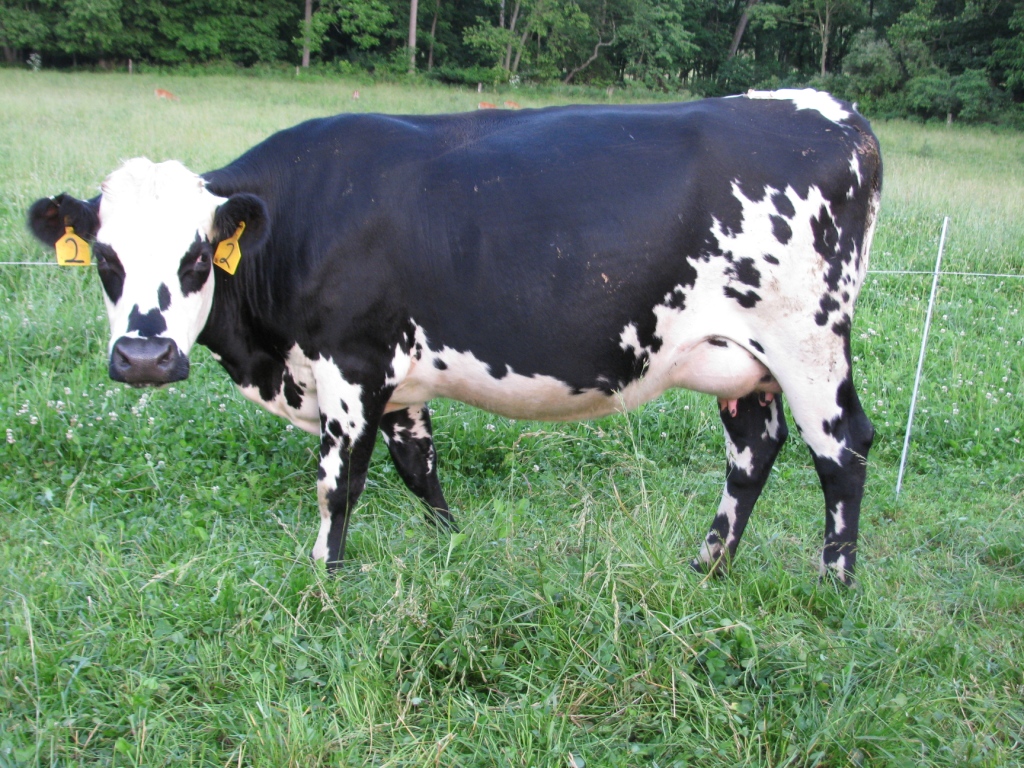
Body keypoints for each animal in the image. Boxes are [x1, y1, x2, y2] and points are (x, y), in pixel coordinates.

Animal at [28, 89, 881, 583]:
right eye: (105, 259)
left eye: (198, 257)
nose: (144, 357)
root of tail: (833, 110)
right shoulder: (398, 379)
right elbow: (419, 468)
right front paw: (452, 548)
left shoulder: (351, 364)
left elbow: (339, 481)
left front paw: (326, 577)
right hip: (743, 363)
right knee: (754, 450)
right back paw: (708, 566)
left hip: (808, 341)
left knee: (841, 449)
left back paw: (834, 583)